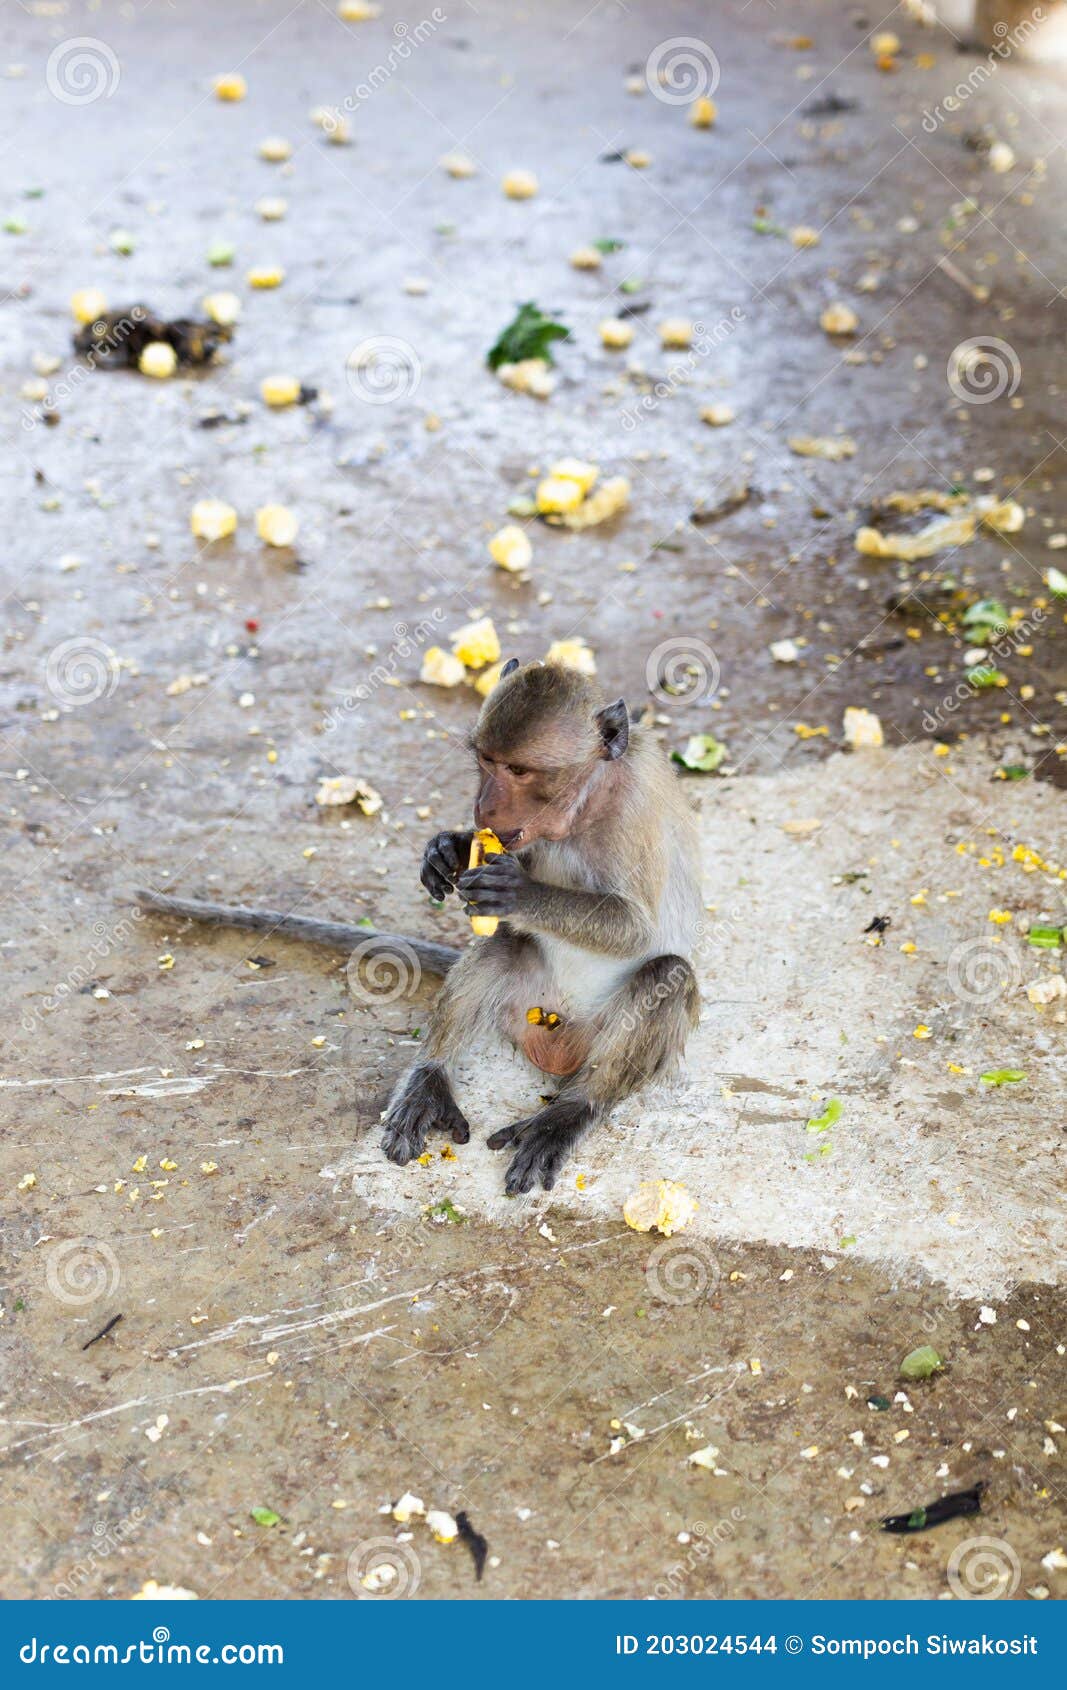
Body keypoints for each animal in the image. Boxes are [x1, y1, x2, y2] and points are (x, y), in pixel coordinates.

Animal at [135, 659, 702, 1195]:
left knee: (666, 975)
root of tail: (559, 1043)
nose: (484, 804)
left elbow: (636, 929)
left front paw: (521, 893)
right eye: (486, 761)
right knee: (502, 947)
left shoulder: (631, 813)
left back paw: (571, 1110)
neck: (585, 804)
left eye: (520, 770)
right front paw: (449, 847)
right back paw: (430, 1078)